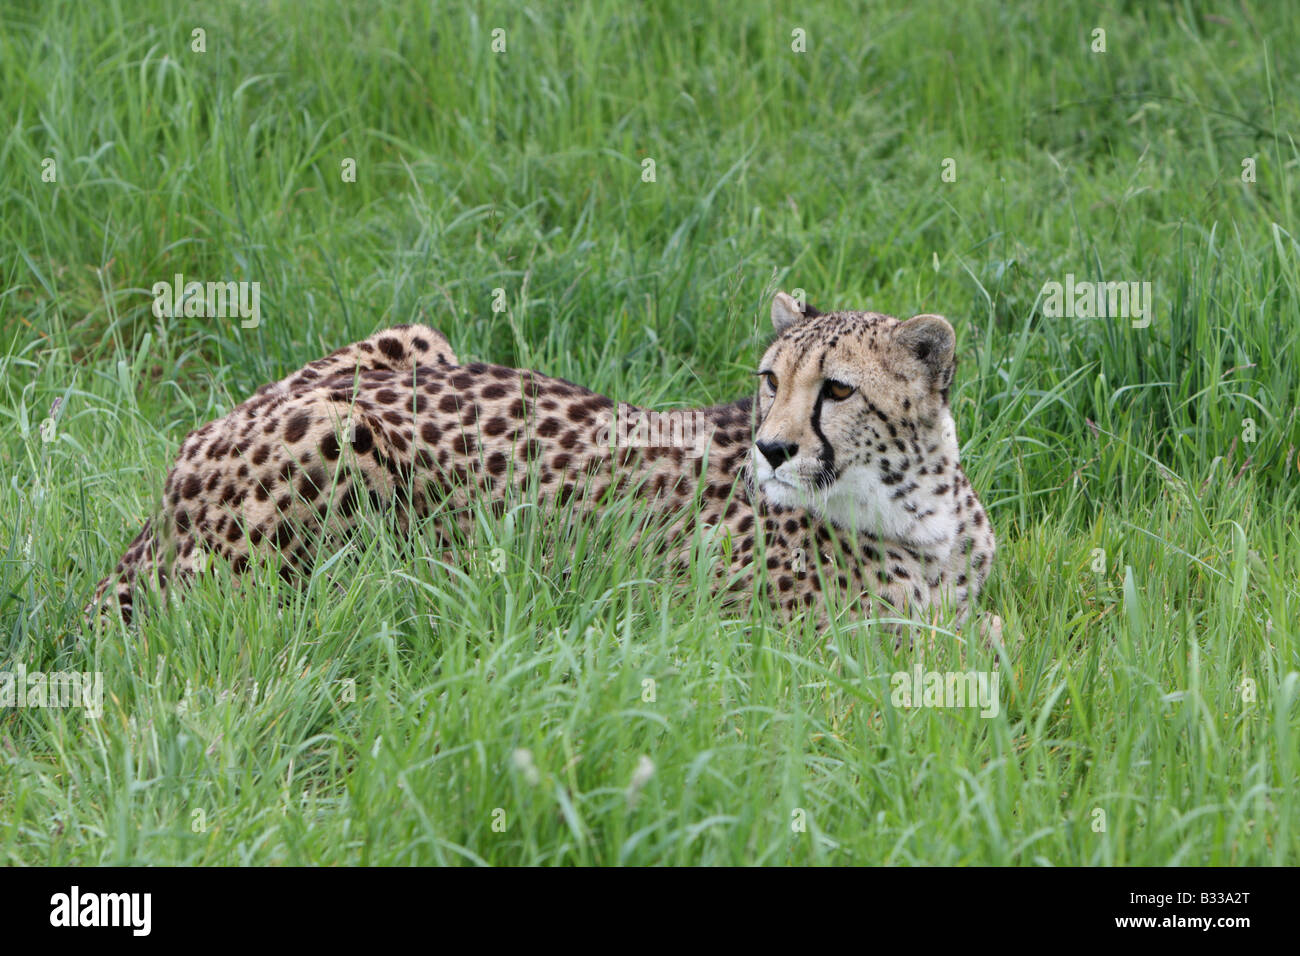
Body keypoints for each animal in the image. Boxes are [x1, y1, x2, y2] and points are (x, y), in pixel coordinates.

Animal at [90, 292, 998, 640]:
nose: (772, 448)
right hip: (333, 426)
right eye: (772, 380)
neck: (915, 506)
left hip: (416, 340)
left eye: (837, 389)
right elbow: (958, 639)